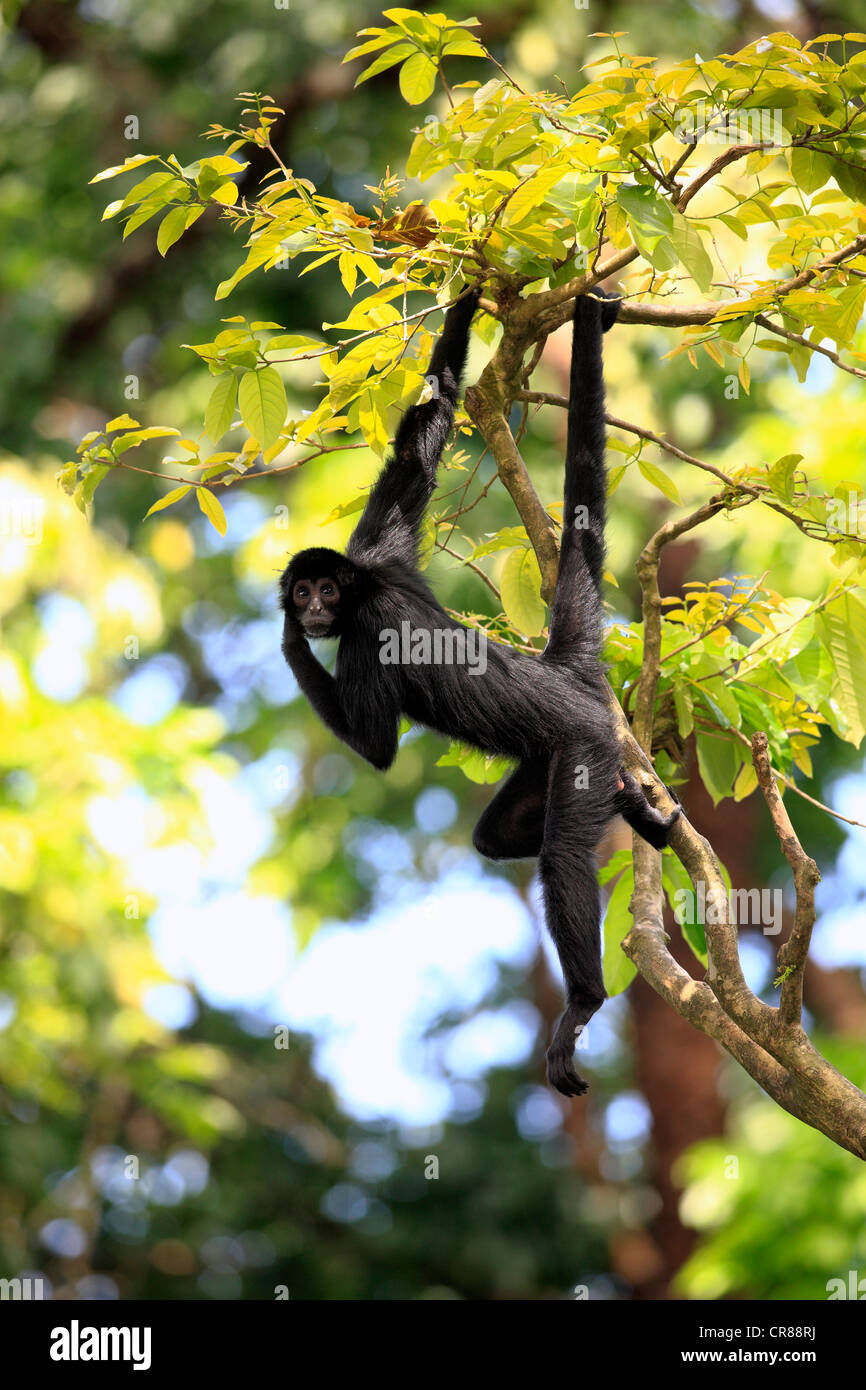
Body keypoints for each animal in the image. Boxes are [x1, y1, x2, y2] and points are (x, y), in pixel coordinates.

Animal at [280, 286, 679, 1096]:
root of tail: (563, 673)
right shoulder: (381, 551)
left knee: (562, 853)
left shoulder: (369, 622)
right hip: (553, 758)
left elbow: (375, 746)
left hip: (583, 741)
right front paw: (464, 298)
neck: (364, 587)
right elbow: (420, 440)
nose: (309, 606)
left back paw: (584, 1000)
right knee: (495, 837)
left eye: (325, 590)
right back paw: (632, 808)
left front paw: (289, 641)